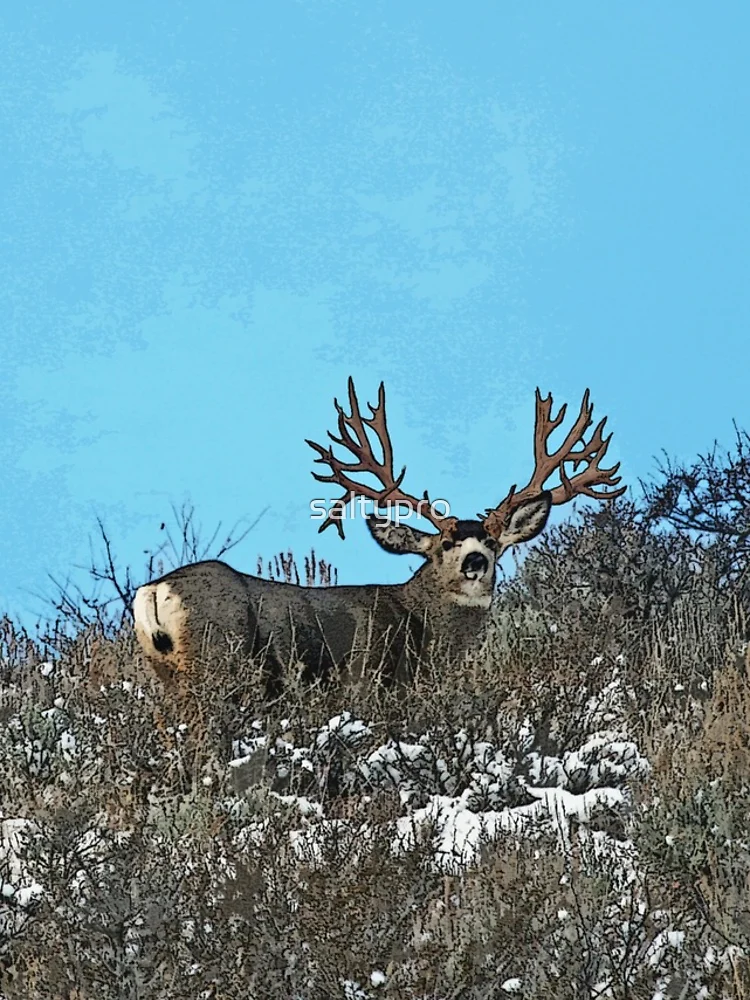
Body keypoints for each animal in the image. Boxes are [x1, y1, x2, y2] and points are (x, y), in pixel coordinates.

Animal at [133, 378, 626, 702]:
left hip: (168, 677)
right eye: (444, 544)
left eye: (493, 542)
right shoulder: (370, 683)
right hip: (216, 662)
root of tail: (156, 590)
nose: (475, 562)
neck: (420, 627)